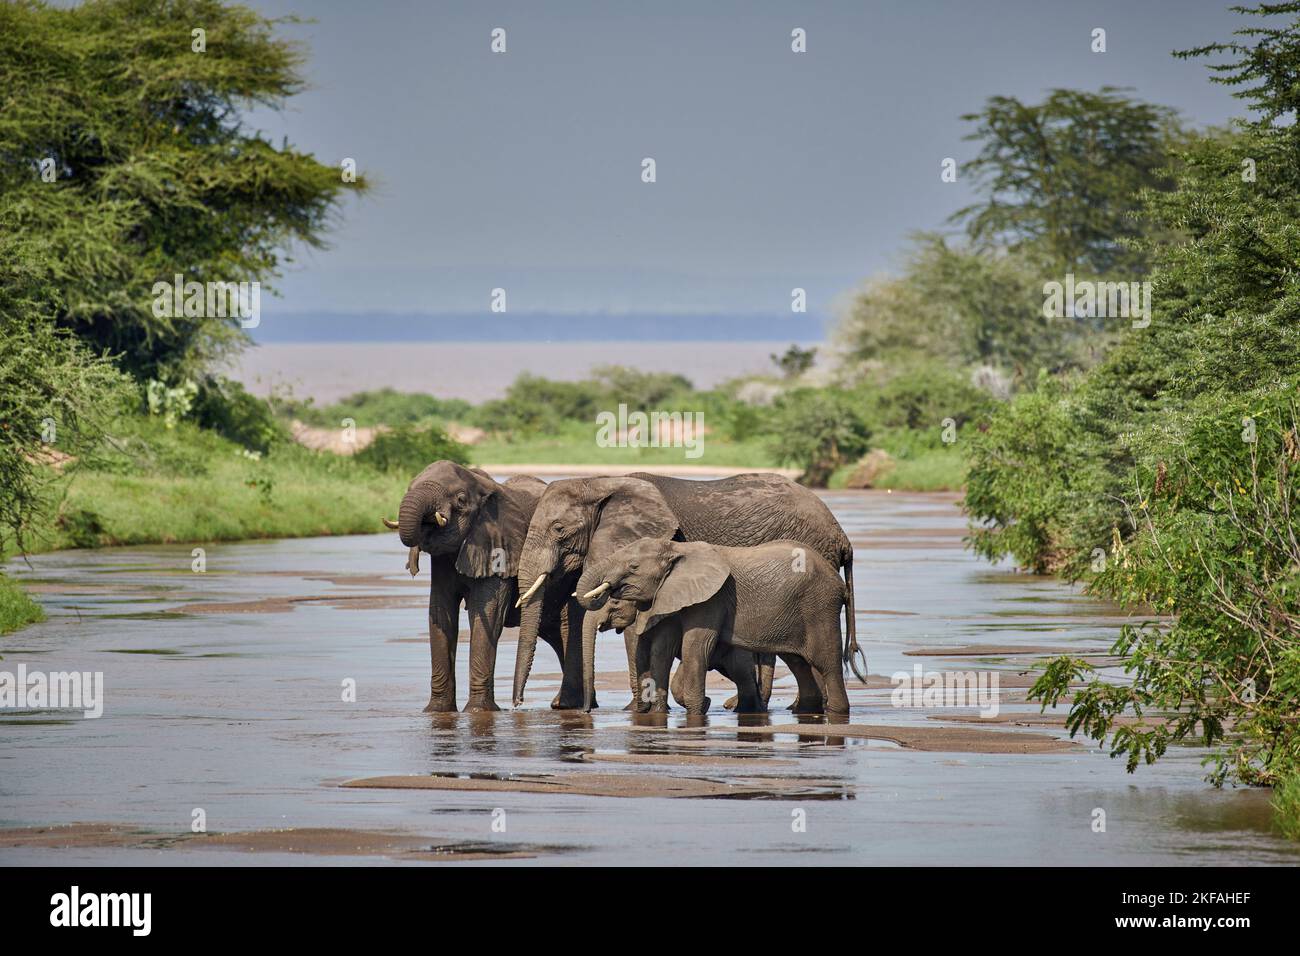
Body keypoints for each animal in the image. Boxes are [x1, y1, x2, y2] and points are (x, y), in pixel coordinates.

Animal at [385, 461, 588, 712]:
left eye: (461, 499)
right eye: (408, 487)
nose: (517, 704)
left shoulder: (500, 544)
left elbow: (488, 615)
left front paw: (478, 712)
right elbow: (440, 615)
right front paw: (436, 711)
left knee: (571, 628)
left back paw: (569, 705)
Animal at [579, 537, 862, 716]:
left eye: (633, 566)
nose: (586, 711)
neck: (677, 548)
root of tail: (839, 583)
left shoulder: (711, 598)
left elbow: (695, 647)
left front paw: (696, 712)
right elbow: (663, 649)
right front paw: (660, 713)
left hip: (820, 607)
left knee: (826, 662)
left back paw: (836, 713)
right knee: (798, 663)